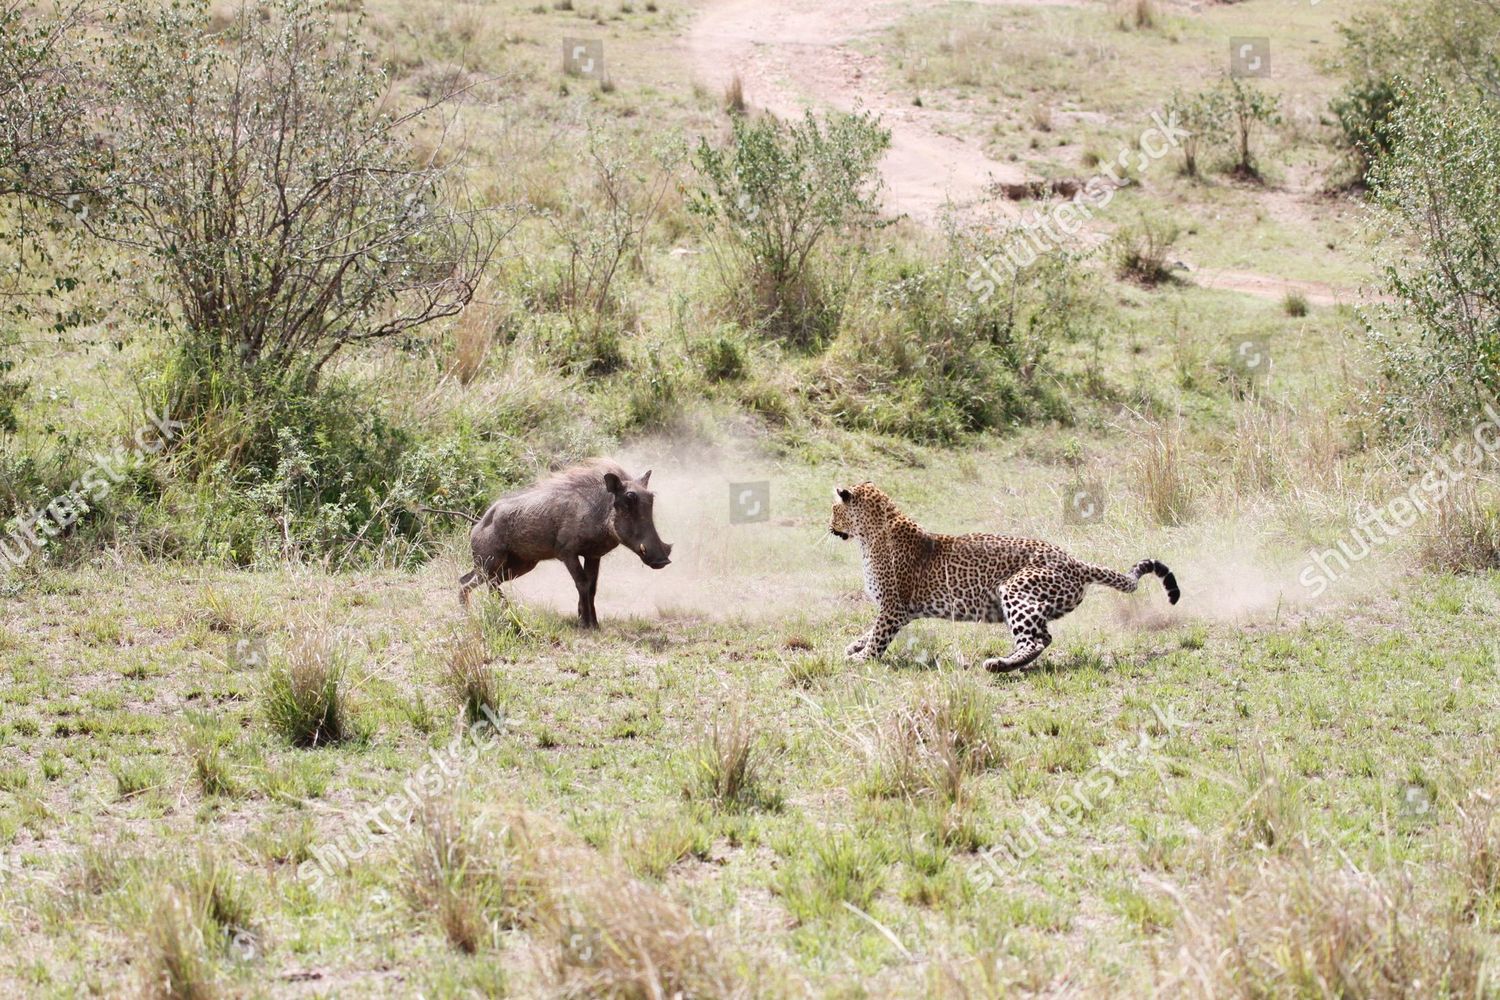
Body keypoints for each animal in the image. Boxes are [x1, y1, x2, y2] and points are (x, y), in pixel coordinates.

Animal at [829, 482, 1180, 672]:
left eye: (833, 510)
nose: (828, 526)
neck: (869, 533)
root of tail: (1074, 561)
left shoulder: (894, 607)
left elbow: (878, 634)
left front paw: (862, 658)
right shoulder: (898, 611)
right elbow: (870, 630)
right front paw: (854, 647)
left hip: (1015, 589)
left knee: (1035, 639)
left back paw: (998, 665)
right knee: (1042, 638)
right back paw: (1008, 662)